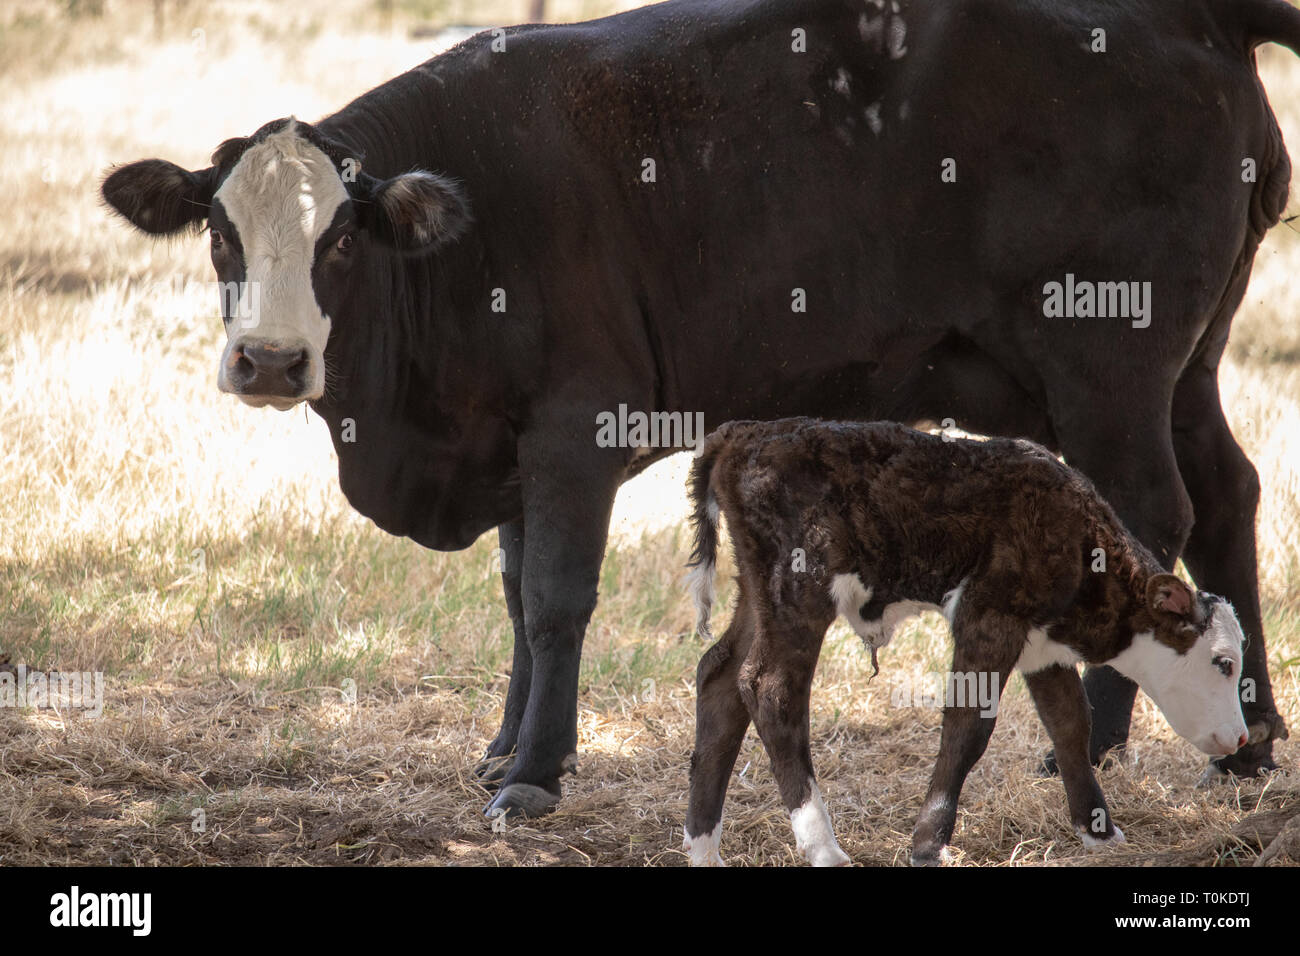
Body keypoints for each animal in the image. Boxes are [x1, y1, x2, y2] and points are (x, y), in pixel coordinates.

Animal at [100, 0, 1296, 820]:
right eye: (220, 231)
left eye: (341, 236)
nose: (269, 357)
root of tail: (1194, 13)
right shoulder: (513, 452)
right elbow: (514, 598)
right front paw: (506, 746)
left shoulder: (577, 428)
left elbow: (554, 602)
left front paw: (534, 775)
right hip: (1179, 369)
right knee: (1228, 495)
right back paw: (1251, 734)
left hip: (1110, 368)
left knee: (1151, 518)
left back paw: (1099, 742)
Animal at [681, 418, 1250, 866]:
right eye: (1223, 663)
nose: (1243, 738)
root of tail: (745, 433)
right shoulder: (989, 618)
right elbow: (968, 726)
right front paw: (929, 842)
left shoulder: (1042, 645)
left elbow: (1070, 724)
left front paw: (1100, 832)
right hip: (799, 589)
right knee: (771, 689)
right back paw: (823, 848)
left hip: (759, 594)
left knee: (719, 677)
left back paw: (704, 848)